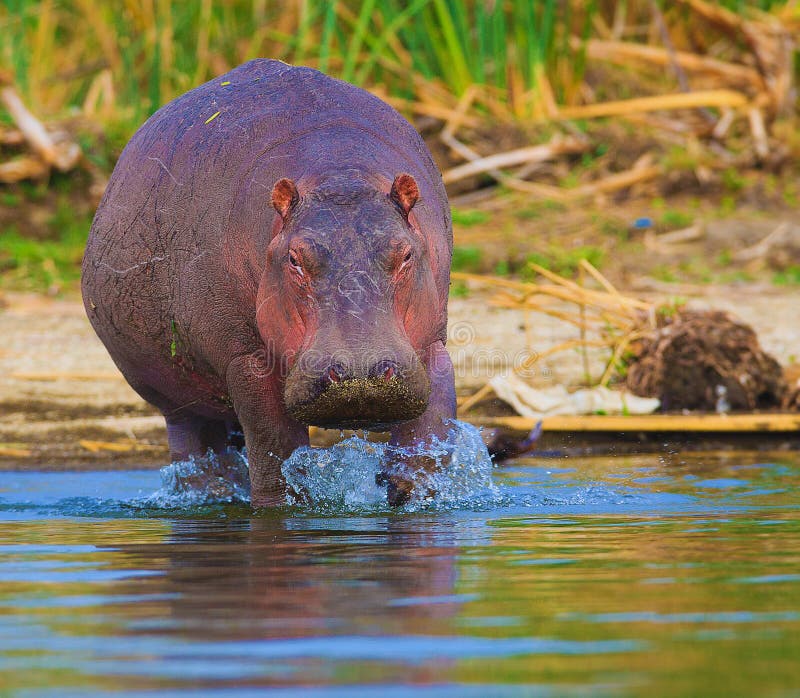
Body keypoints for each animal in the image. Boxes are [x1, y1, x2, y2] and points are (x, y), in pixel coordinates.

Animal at [81, 59, 456, 506]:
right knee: (198, 458)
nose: (359, 371)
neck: (339, 171)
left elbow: (425, 447)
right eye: (294, 259)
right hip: (180, 403)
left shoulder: (430, 349)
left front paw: (415, 496)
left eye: (405, 254)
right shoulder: (246, 360)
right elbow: (275, 454)